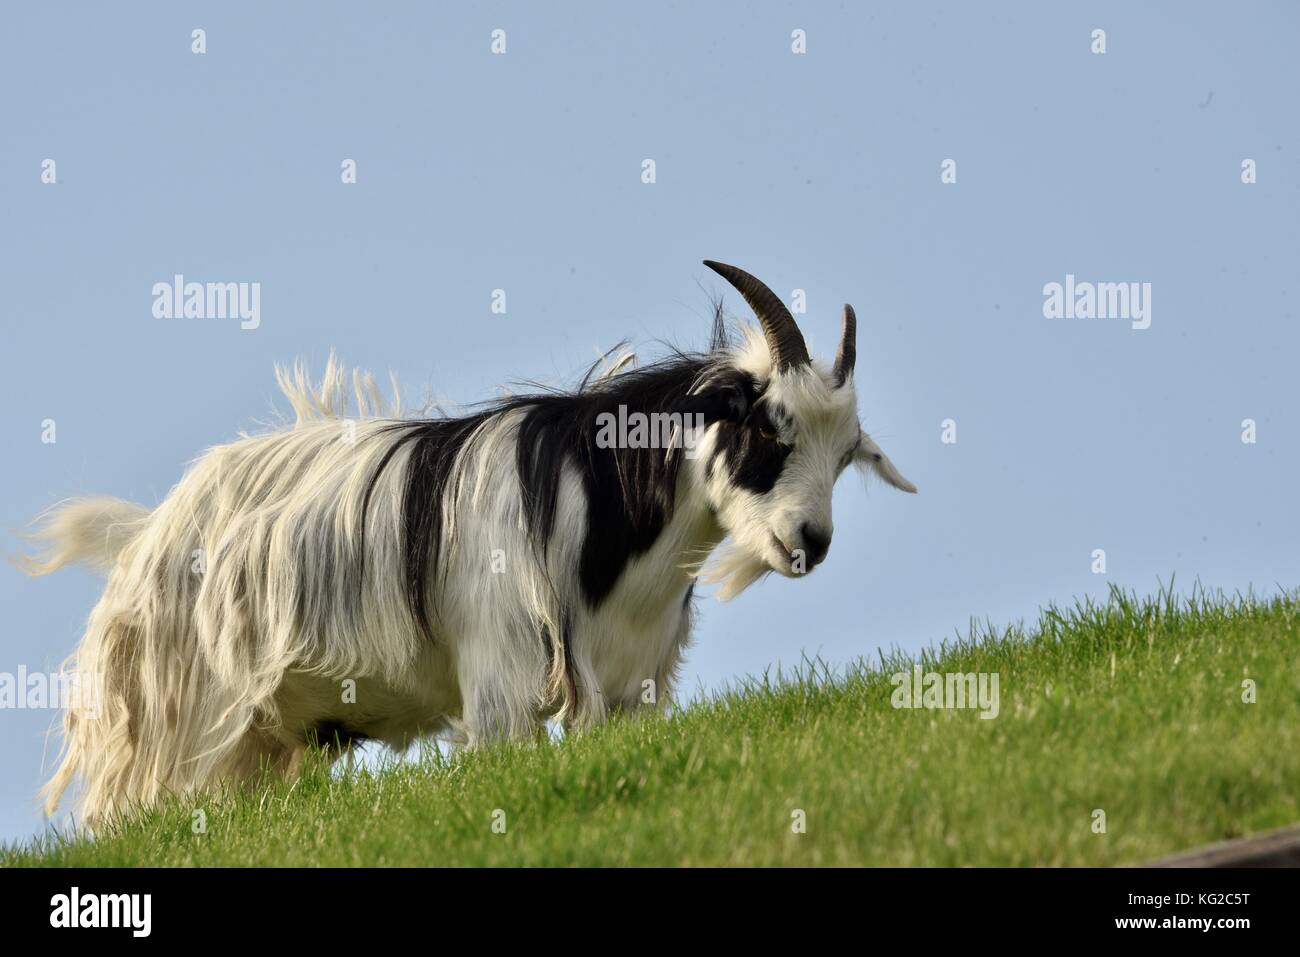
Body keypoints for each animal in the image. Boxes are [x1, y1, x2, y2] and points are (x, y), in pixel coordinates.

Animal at [23, 261, 916, 827]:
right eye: (769, 429)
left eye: (846, 456)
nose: (811, 540)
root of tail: (147, 536)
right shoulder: (499, 684)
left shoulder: (628, 689)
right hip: (184, 724)